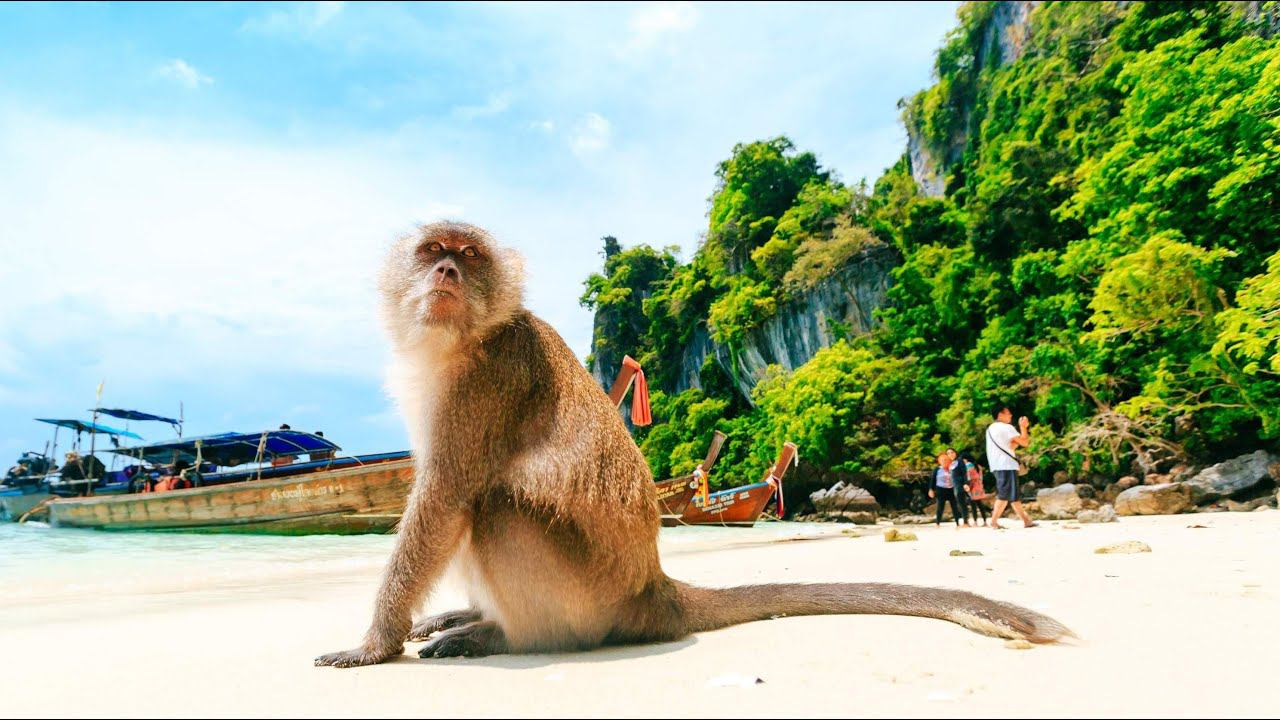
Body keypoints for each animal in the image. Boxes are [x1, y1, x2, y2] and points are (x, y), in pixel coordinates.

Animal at [315, 222, 1072, 668]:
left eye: (468, 257)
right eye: (432, 253)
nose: (446, 274)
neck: (461, 340)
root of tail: (655, 590)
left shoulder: (486, 380)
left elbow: (444, 498)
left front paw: (374, 644)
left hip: (586, 598)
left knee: (493, 505)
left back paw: (502, 635)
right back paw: (473, 617)